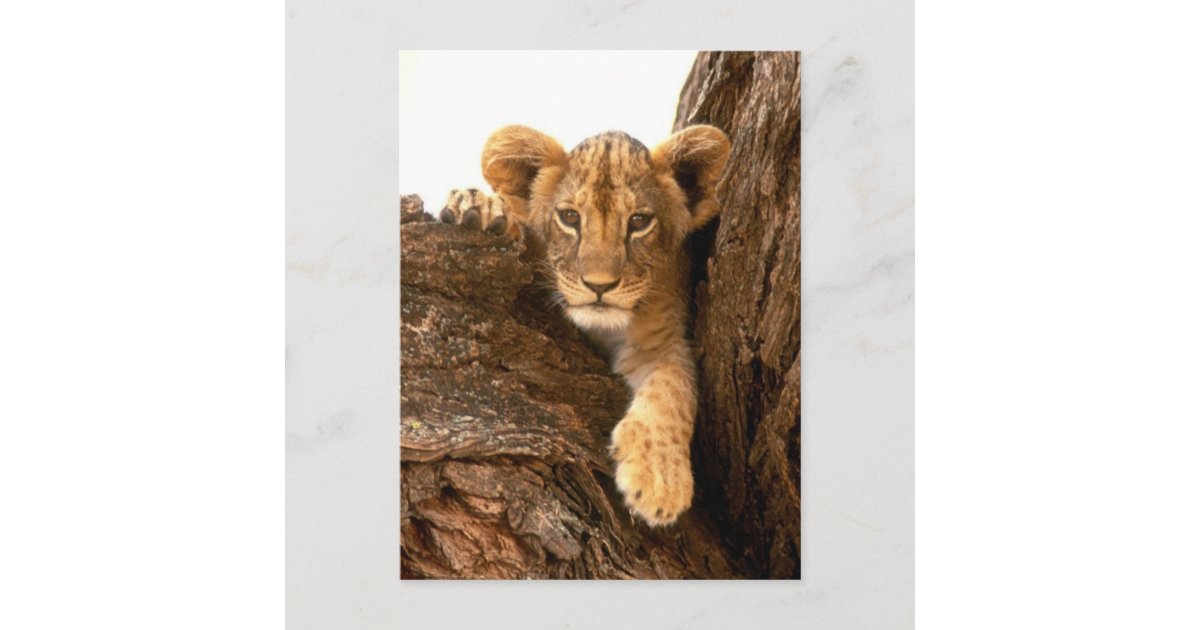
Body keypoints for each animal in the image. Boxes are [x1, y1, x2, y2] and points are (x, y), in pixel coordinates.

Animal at [438, 124, 730, 526]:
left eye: (639, 221)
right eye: (570, 217)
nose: (599, 285)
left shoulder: (662, 338)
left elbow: (674, 388)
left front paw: (659, 479)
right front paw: (480, 208)